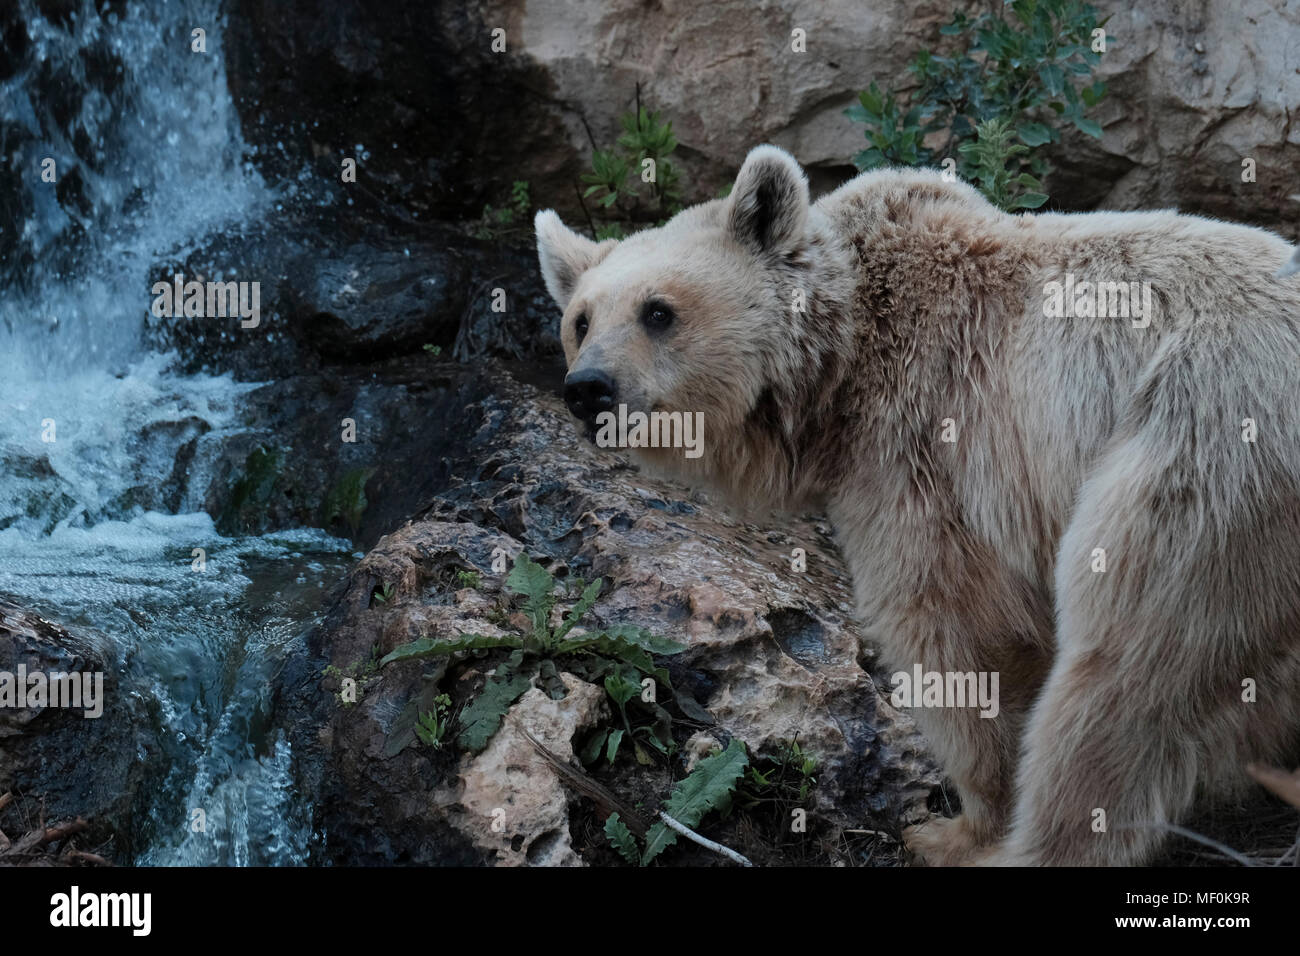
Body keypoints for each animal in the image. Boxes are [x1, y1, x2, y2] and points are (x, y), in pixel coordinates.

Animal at [534, 144, 1300, 866]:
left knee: (1128, 667)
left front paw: (956, 828)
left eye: (658, 311)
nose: (589, 388)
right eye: (580, 320)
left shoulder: (923, 438)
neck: (843, 359)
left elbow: (951, 624)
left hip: (1201, 451)